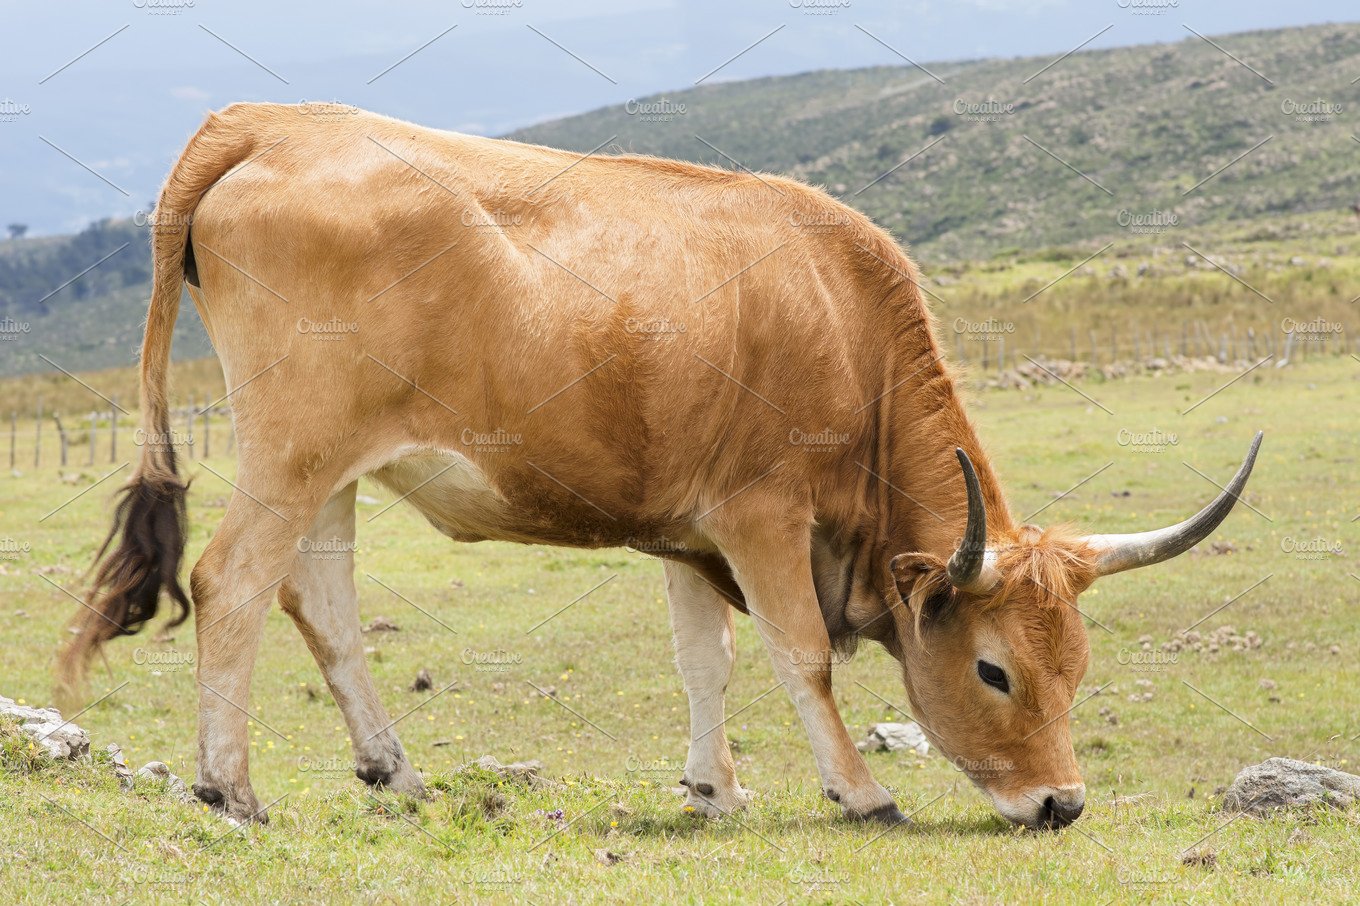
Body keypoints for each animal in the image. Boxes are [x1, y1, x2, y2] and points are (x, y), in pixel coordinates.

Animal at [58, 102, 1261, 830]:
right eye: (995, 670)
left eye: (1078, 668)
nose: (1061, 802)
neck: (839, 325)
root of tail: (267, 122)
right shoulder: (763, 516)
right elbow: (800, 654)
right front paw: (860, 789)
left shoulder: (690, 531)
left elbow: (705, 661)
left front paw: (712, 787)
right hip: (292, 455)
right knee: (232, 584)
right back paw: (229, 786)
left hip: (332, 471)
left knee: (320, 602)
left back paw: (392, 769)